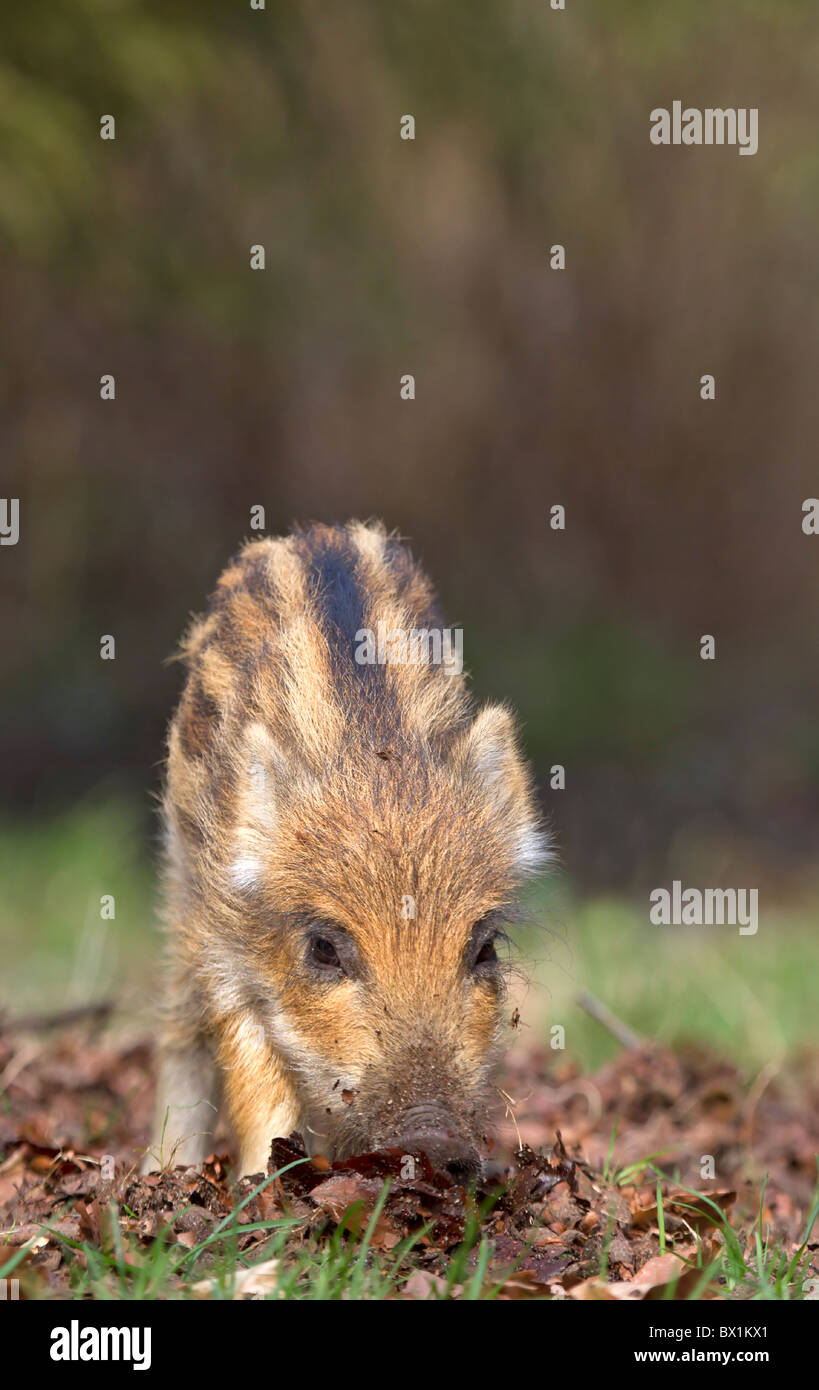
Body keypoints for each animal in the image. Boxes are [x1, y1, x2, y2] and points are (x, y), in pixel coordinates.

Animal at [146, 521, 548, 1179]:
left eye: (485, 948)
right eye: (323, 949)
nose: (433, 1137)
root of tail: (311, 535)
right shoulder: (222, 939)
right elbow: (254, 1076)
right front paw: (259, 1183)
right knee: (181, 1031)